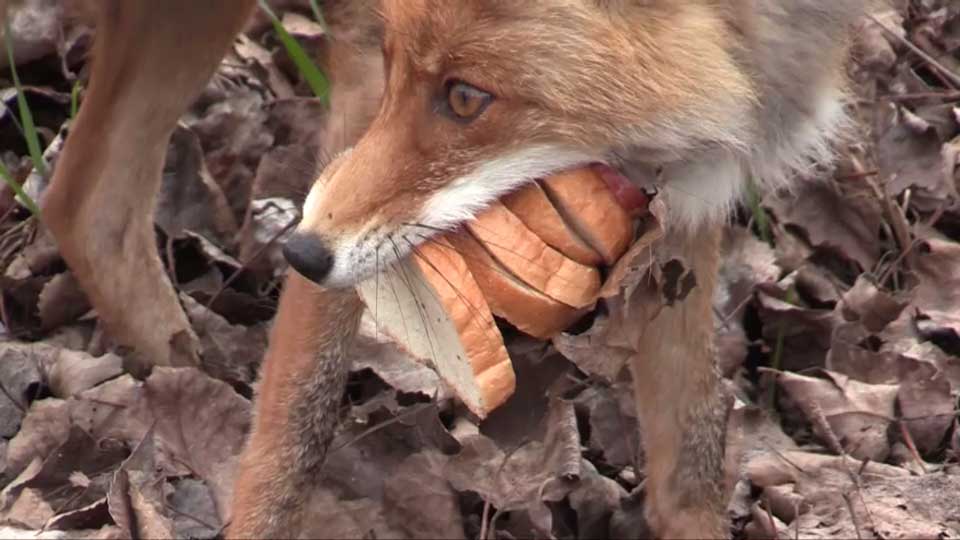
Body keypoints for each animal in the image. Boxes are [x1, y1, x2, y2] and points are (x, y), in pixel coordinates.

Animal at [29, 0, 869, 538]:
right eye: (397, 63)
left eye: (467, 98)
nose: (299, 252)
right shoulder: (361, 89)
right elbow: (296, 427)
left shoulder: (692, 183)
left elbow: (690, 458)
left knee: (84, 207)